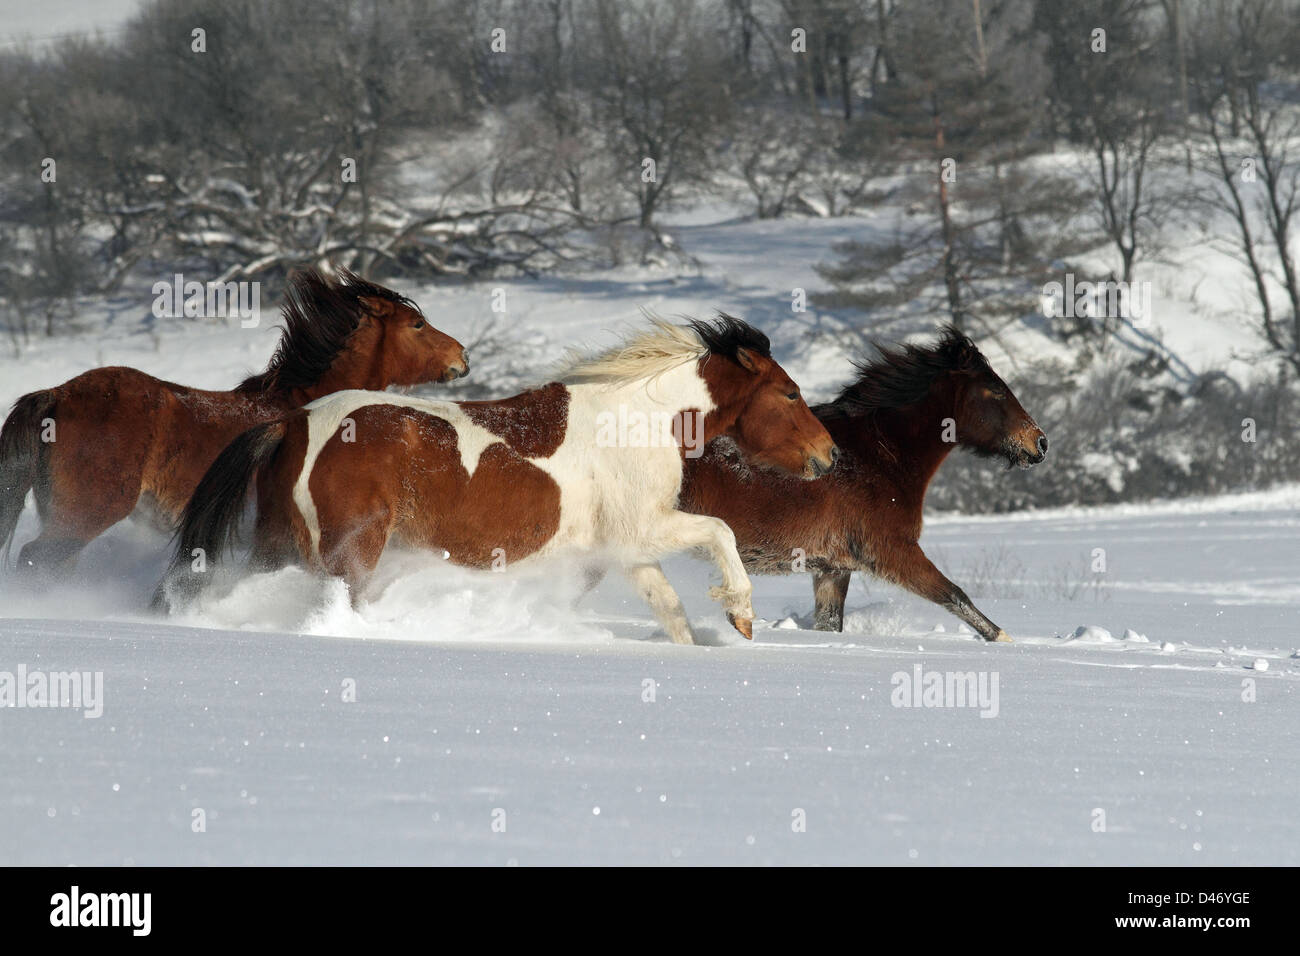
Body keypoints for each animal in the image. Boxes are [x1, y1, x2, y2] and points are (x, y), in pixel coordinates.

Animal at [156, 315, 839, 645]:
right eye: (789, 391)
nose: (829, 455)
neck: (639, 418)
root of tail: (292, 423)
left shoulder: (627, 549)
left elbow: (670, 611)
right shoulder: (645, 528)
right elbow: (722, 532)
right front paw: (742, 616)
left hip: (276, 541)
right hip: (355, 549)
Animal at [677, 324, 1047, 642]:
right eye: (996, 391)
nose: (1040, 443)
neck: (880, 455)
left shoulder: (833, 569)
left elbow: (829, 624)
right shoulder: (892, 551)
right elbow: (955, 595)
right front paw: (1007, 641)